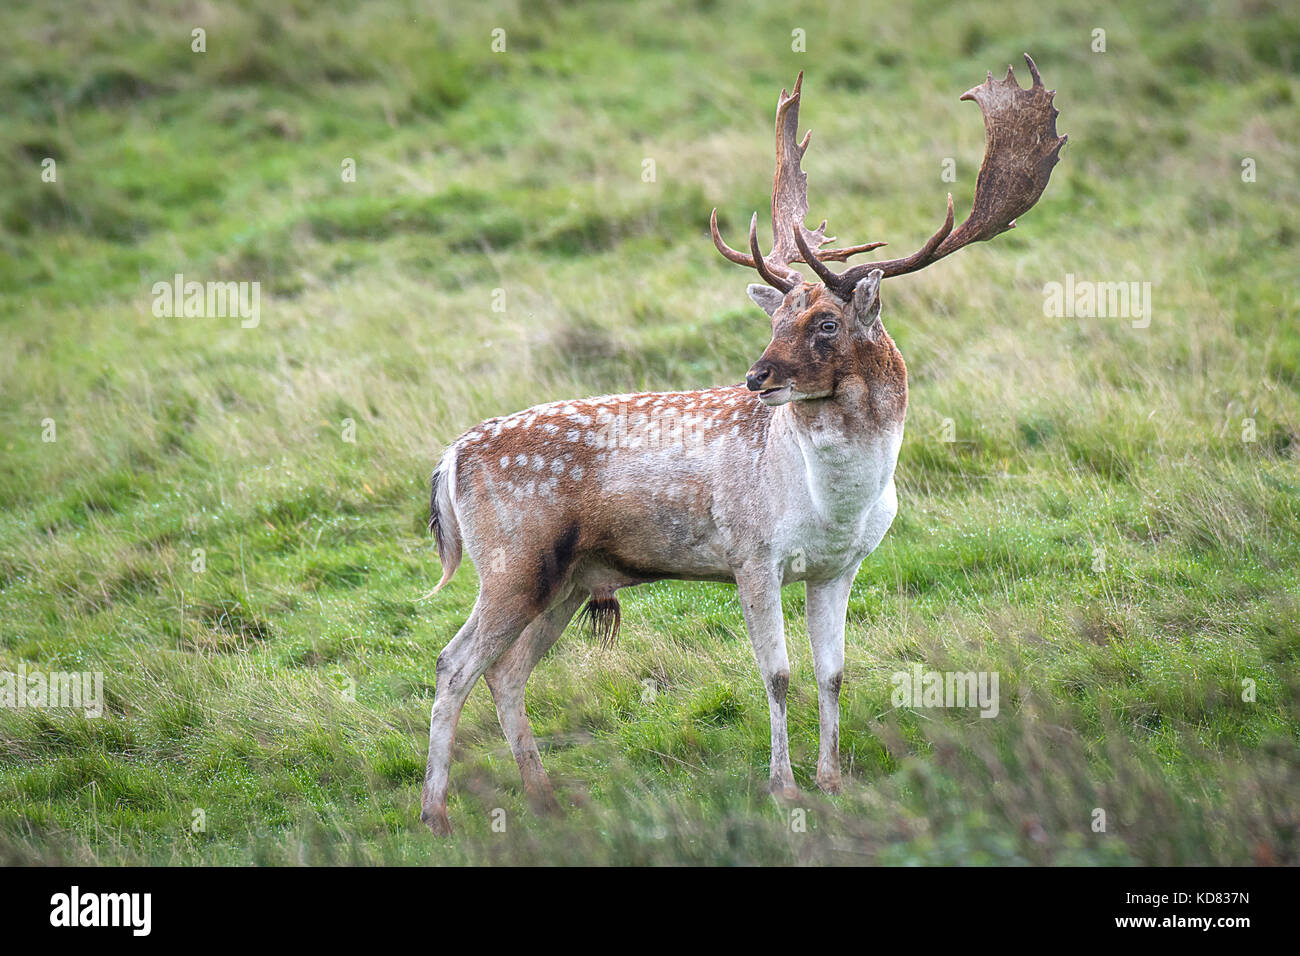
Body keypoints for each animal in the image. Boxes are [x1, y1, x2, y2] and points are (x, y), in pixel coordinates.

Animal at [422, 55, 1066, 835]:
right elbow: (778, 674)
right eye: (777, 317)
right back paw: (436, 815)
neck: (836, 503)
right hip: (514, 560)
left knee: (507, 670)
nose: (756, 376)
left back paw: (542, 798)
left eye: (824, 323)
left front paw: (832, 779)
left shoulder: (839, 567)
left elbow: (832, 672)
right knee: (455, 663)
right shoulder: (752, 555)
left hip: (570, 577)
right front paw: (783, 787)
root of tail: (450, 458)